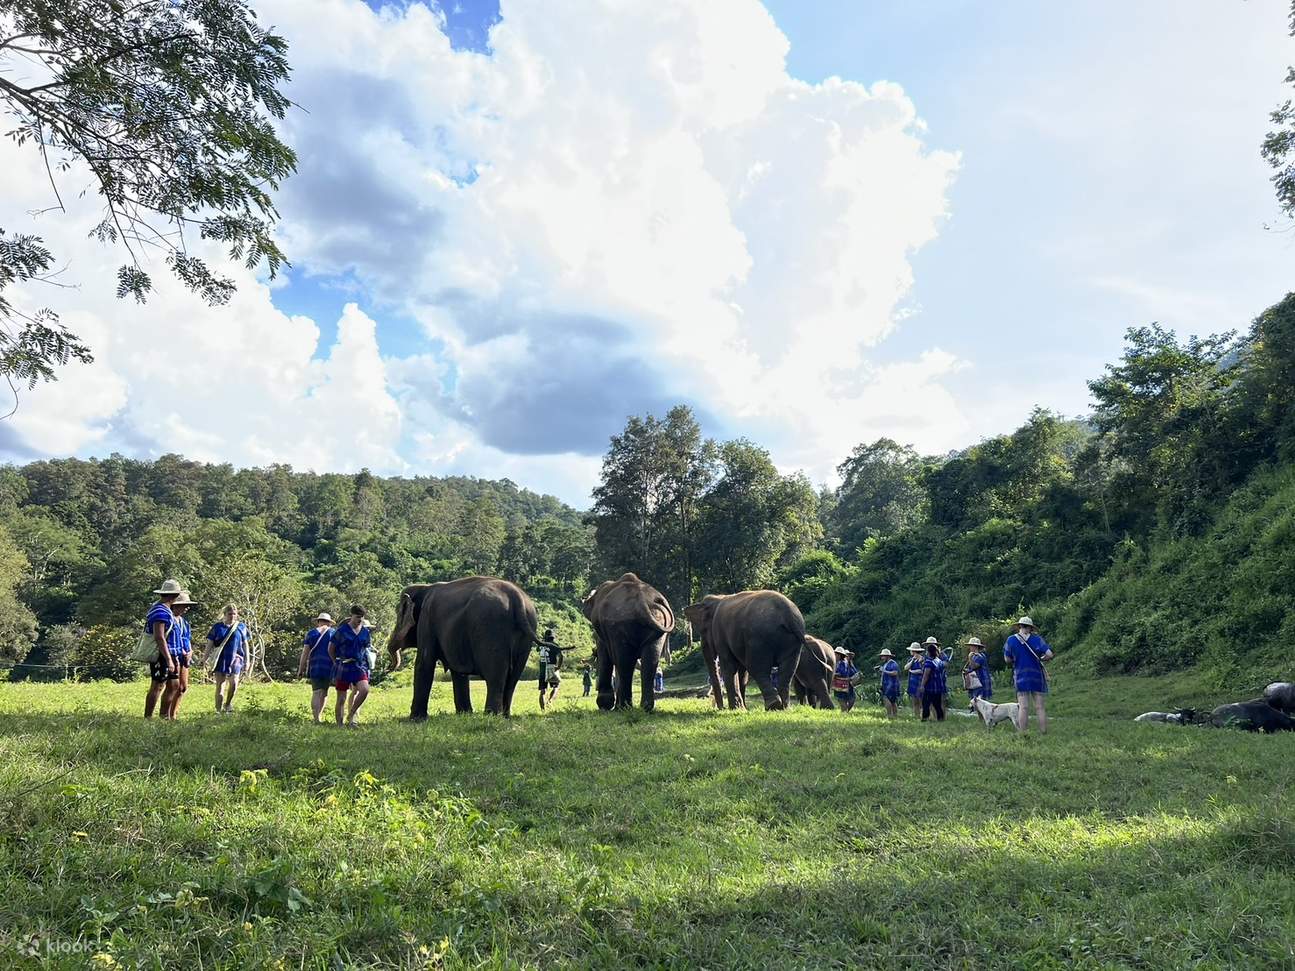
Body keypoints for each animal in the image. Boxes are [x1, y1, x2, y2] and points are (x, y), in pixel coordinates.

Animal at [388, 576, 540, 717]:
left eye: (398, 614)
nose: (389, 668)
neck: (425, 587)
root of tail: (516, 597)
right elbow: (458, 672)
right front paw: (464, 714)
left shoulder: (426, 620)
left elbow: (424, 662)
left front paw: (415, 719)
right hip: (525, 634)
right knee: (513, 678)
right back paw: (505, 716)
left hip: (491, 628)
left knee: (495, 676)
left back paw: (491, 715)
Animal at [582, 573, 675, 710]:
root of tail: (642, 602)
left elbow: (604, 654)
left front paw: (605, 705)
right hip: (659, 621)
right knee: (649, 660)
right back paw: (644, 707)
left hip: (619, 624)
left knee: (624, 662)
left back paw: (625, 707)